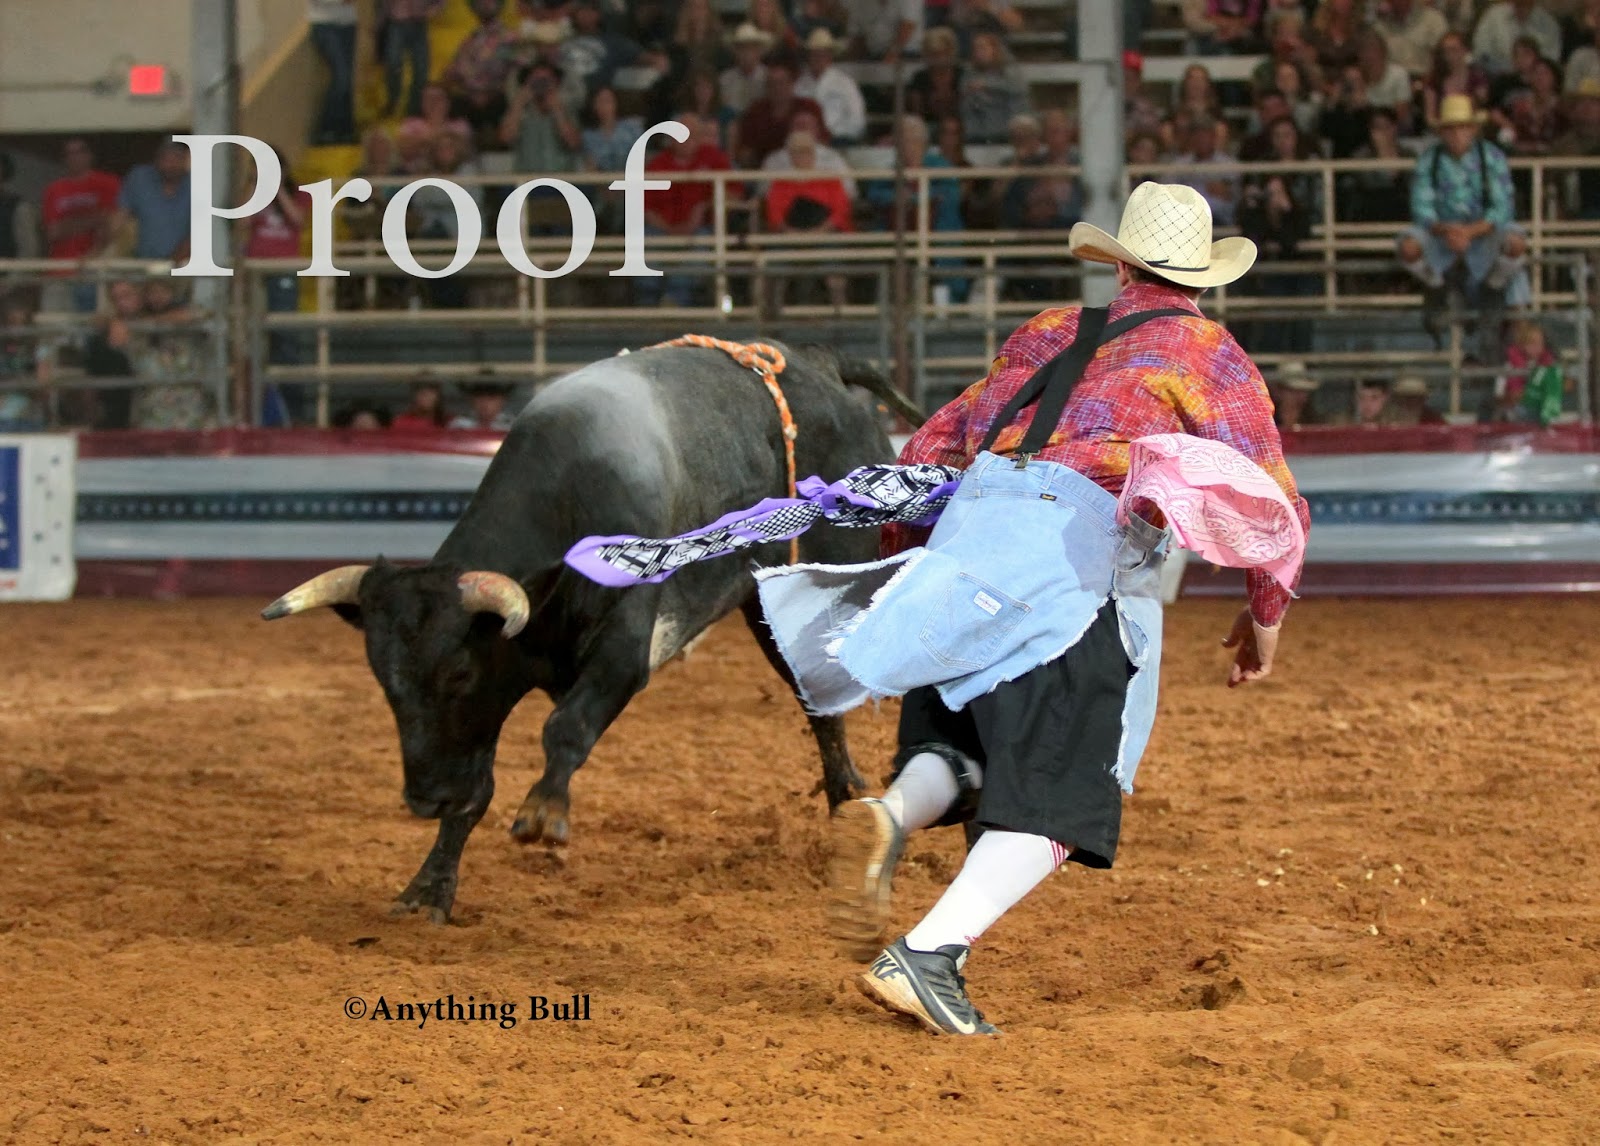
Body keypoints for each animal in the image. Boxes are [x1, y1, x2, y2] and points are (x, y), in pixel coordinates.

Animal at [261, 341, 921, 923]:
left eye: (459, 671)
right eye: (385, 679)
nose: (424, 798)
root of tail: (821, 363)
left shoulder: (624, 650)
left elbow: (566, 726)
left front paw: (543, 811)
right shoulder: (490, 706)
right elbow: (476, 787)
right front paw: (430, 886)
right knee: (819, 705)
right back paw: (847, 804)